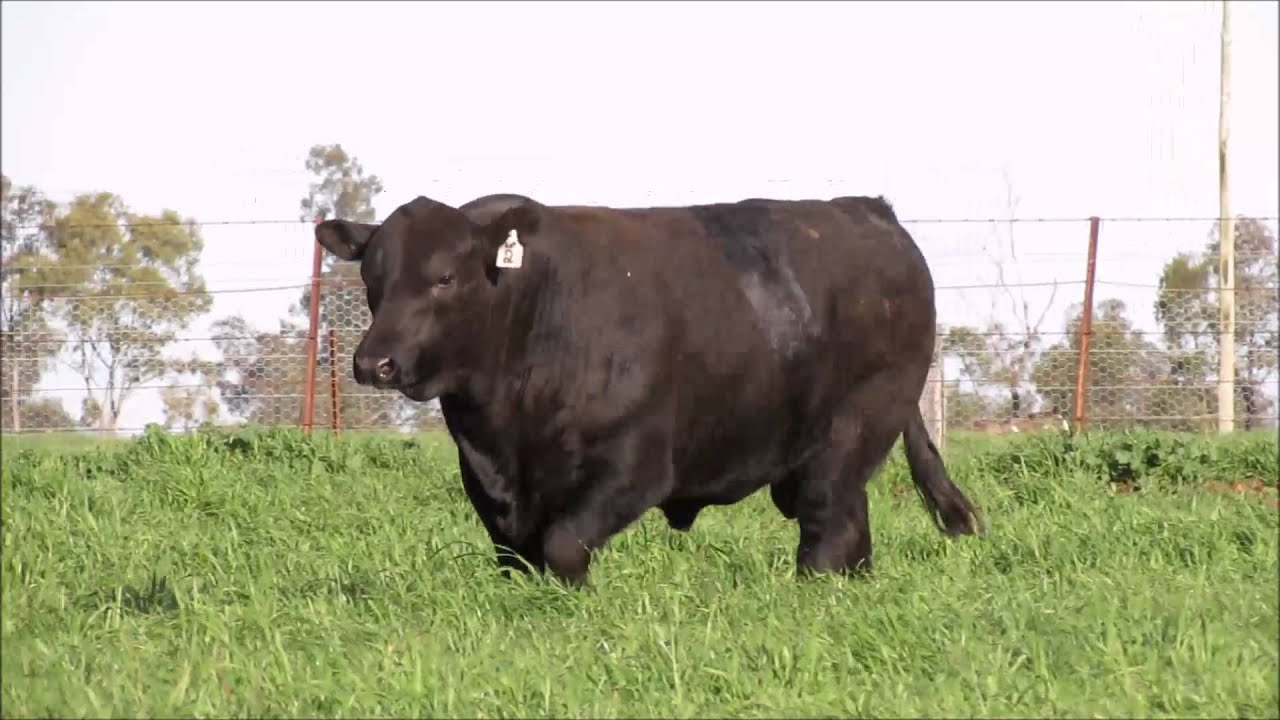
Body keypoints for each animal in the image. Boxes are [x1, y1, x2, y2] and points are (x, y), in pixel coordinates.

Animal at [315, 192, 983, 586]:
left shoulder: (634, 464)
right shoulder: (485, 478)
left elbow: (561, 545)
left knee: (828, 527)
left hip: (856, 426)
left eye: (445, 277)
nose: (374, 362)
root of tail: (868, 208)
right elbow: (517, 556)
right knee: (851, 525)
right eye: (372, 277)